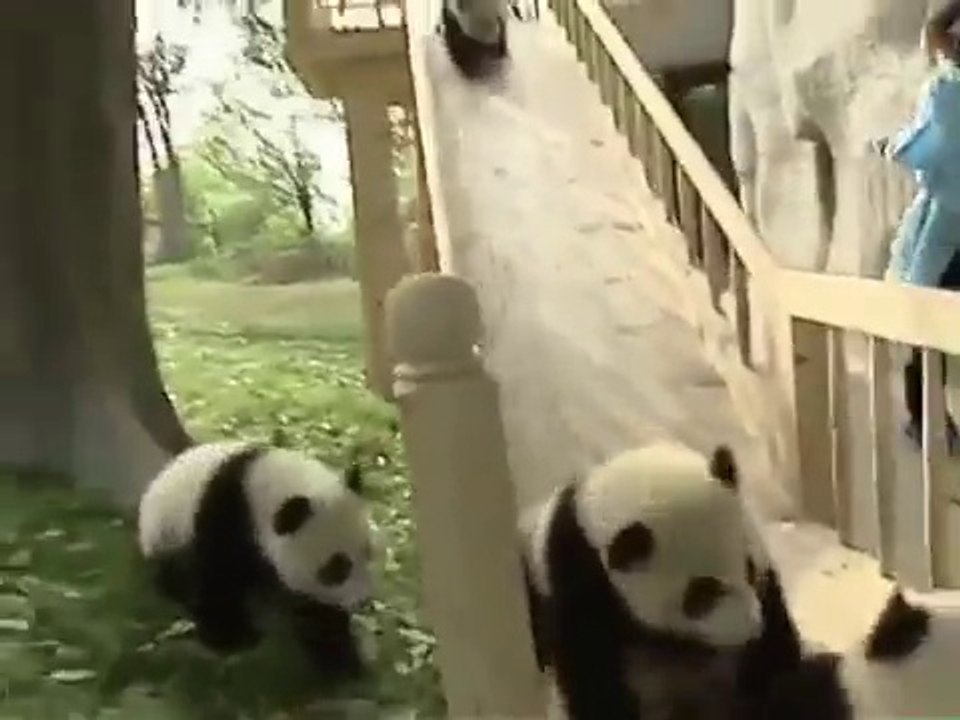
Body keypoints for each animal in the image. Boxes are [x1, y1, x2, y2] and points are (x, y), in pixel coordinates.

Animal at [137, 440, 374, 679]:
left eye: (368, 552)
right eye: (337, 567)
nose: (362, 601)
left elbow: (312, 607)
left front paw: (340, 658)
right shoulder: (224, 516)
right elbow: (218, 576)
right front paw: (229, 637)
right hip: (168, 533)